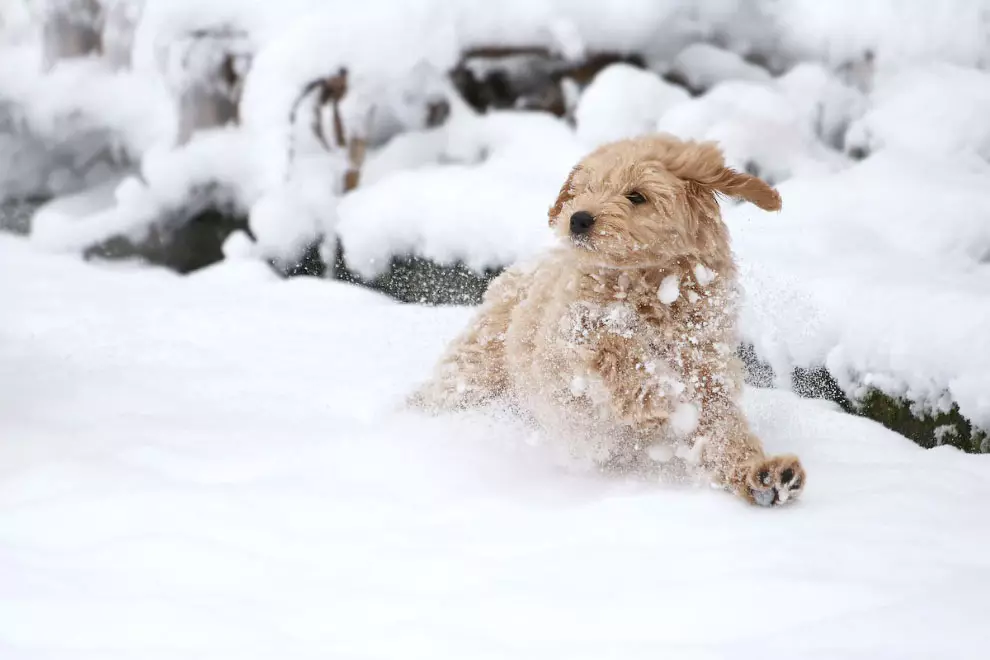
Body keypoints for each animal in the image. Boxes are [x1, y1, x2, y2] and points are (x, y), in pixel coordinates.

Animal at [410, 133, 808, 506]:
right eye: (585, 190)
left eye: (636, 196)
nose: (577, 219)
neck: (652, 288)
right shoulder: (571, 331)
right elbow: (613, 347)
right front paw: (655, 396)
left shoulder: (708, 370)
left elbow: (723, 431)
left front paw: (763, 475)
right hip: (476, 371)